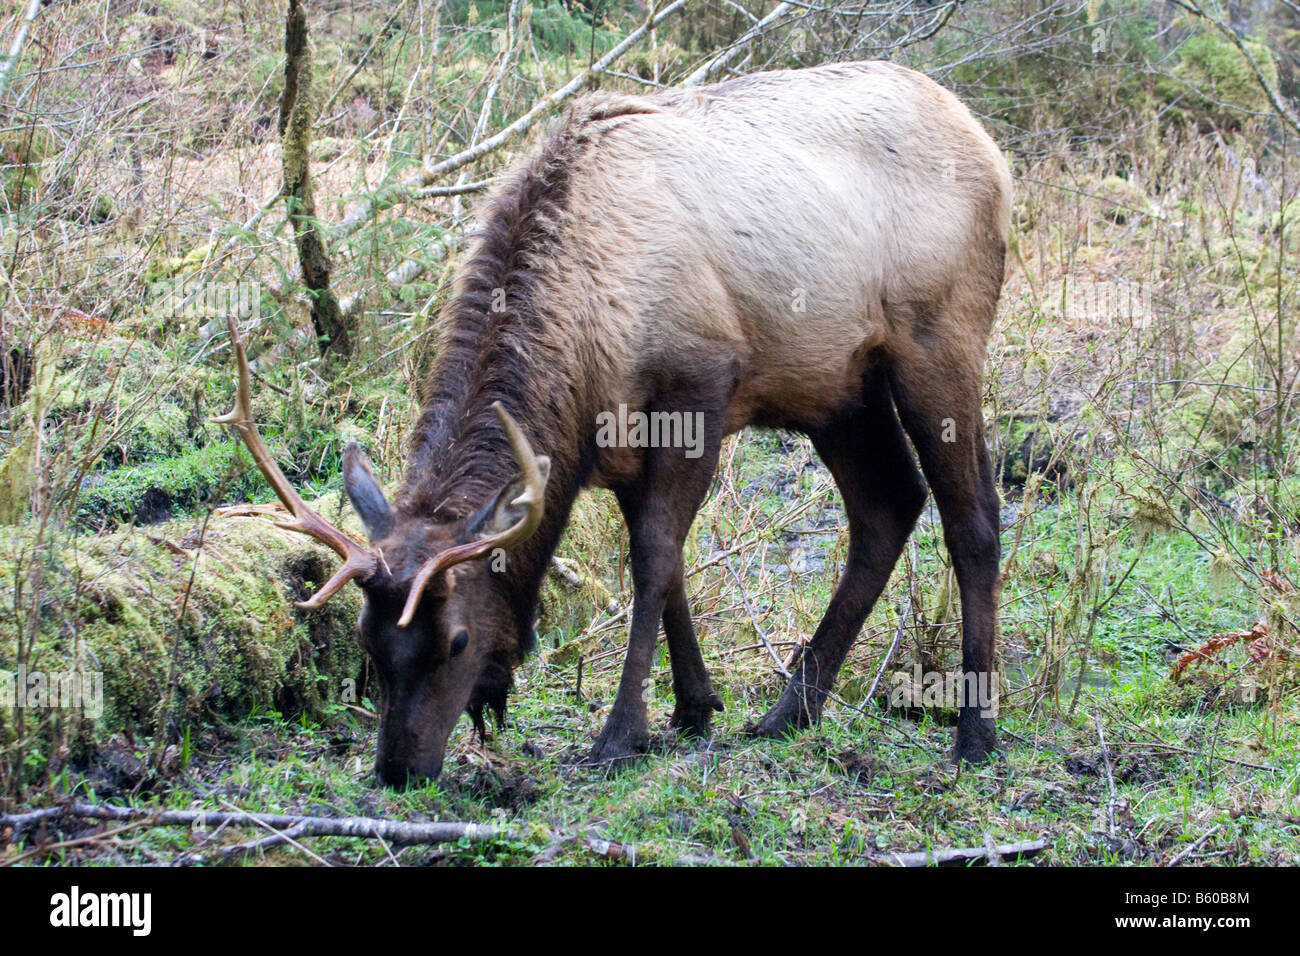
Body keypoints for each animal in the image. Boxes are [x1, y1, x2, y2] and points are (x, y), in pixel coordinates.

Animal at [217, 60, 1012, 785]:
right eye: (369, 644)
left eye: (456, 640)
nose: (397, 769)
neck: (587, 344)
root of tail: (991, 149)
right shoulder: (621, 444)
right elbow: (671, 565)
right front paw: (695, 706)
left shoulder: (701, 385)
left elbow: (654, 558)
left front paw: (622, 733)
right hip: (837, 384)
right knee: (888, 503)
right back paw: (790, 710)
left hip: (939, 339)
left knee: (973, 515)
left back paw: (974, 732)